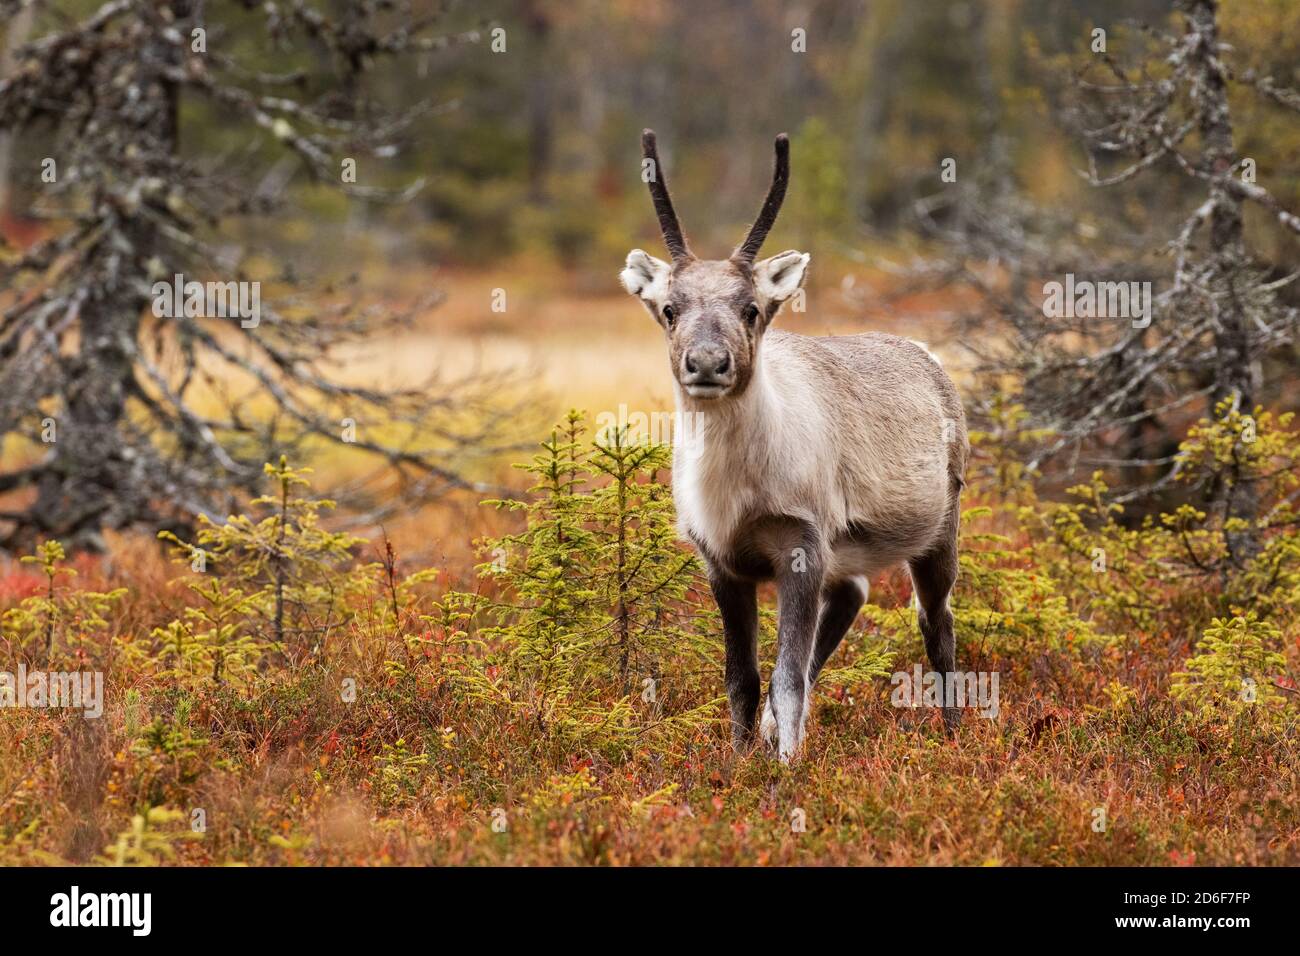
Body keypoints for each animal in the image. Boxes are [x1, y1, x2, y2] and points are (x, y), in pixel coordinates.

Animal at [620, 130, 969, 762]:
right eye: (669, 309)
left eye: (751, 309)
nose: (707, 363)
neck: (735, 489)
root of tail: (928, 358)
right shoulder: (723, 564)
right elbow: (743, 677)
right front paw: (740, 759)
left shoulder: (800, 547)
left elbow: (784, 679)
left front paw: (786, 766)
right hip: (847, 551)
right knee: (853, 594)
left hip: (939, 532)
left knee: (937, 622)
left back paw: (954, 733)